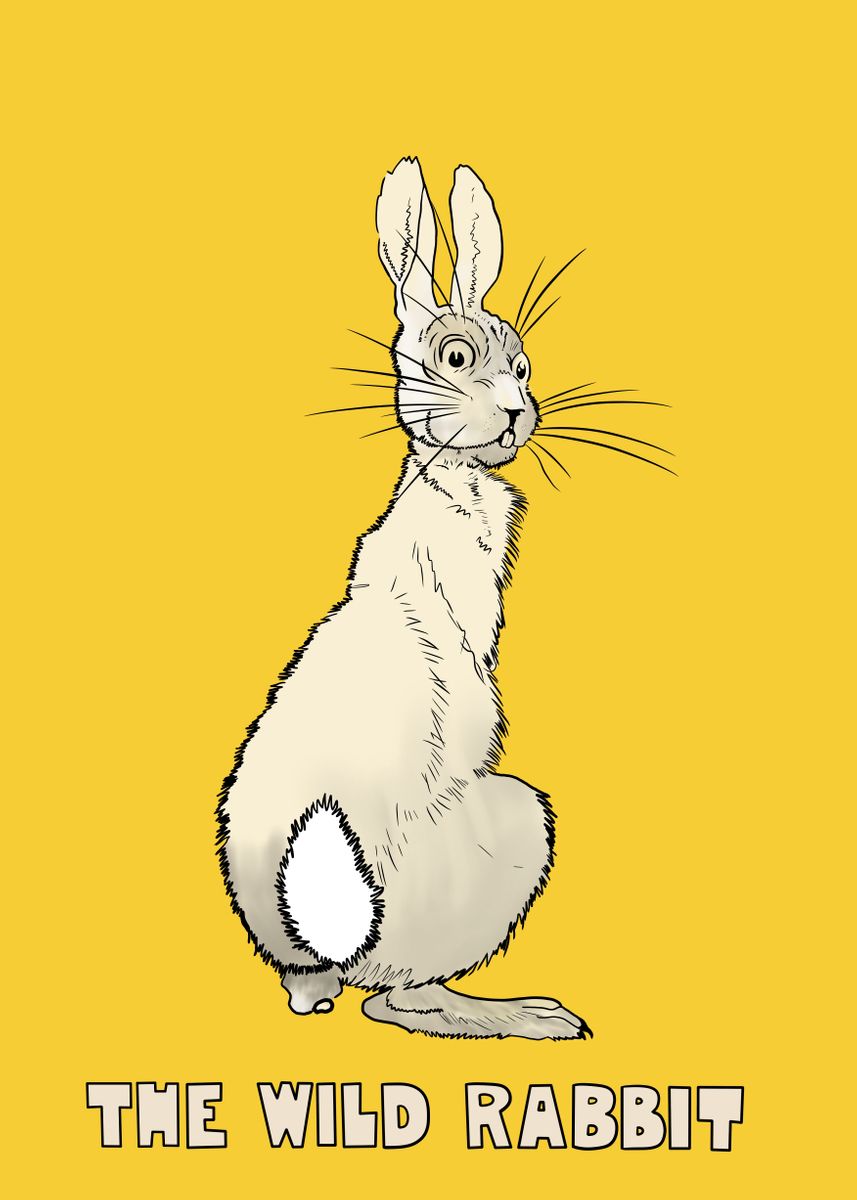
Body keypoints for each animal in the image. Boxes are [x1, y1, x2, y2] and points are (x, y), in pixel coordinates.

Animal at [216, 157, 591, 1040]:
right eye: (454, 356)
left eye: (523, 366)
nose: (517, 414)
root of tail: (319, 942)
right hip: (518, 824)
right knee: (395, 1000)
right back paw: (524, 1016)